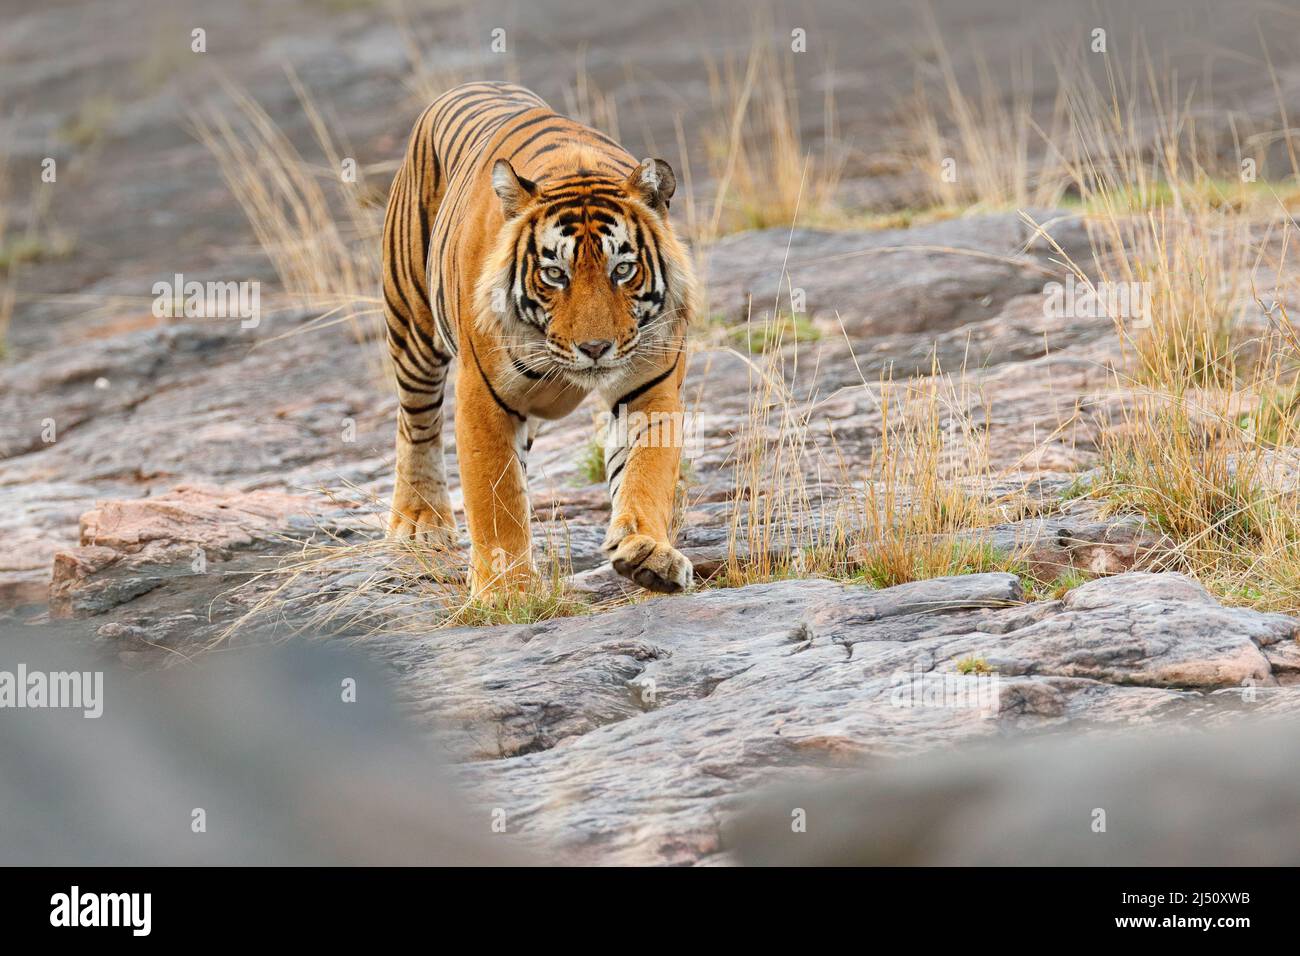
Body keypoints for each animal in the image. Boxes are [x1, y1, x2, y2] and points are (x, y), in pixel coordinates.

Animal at [381, 81, 697, 597]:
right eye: (554, 274)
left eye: (622, 270)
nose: (595, 349)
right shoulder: (482, 396)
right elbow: (495, 498)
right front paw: (505, 590)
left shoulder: (650, 387)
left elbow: (645, 472)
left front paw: (648, 553)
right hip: (411, 321)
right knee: (417, 422)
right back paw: (419, 522)